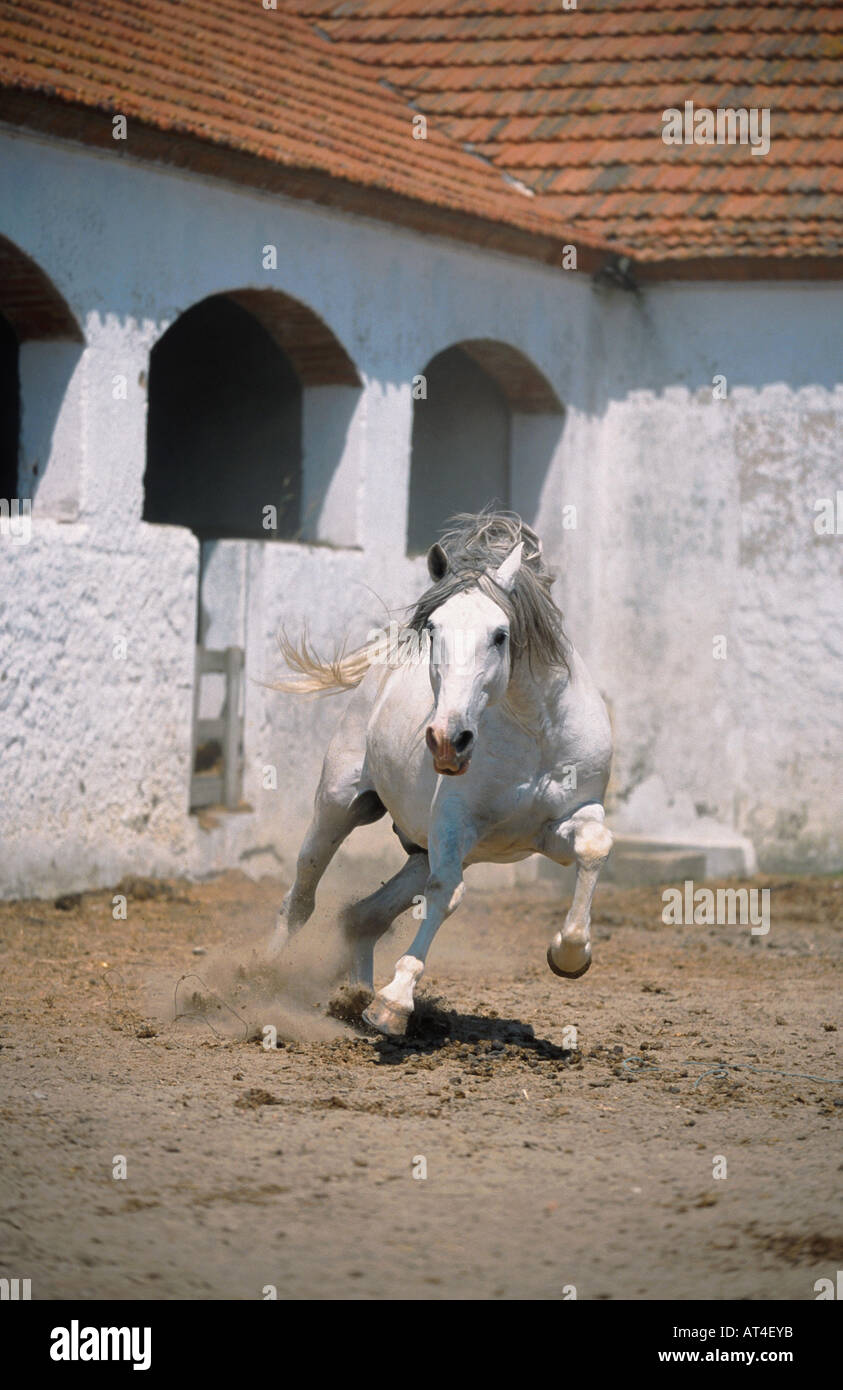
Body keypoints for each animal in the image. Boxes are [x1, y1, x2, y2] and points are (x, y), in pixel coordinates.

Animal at [269, 509, 613, 1038]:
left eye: (500, 635)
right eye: (433, 630)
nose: (448, 739)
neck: (533, 730)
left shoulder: (560, 825)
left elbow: (595, 848)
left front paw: (569, 955)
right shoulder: (455, 822)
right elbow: (445, 896)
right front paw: (393, 1005)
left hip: (421, 847)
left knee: (362, 916)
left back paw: (356, 995)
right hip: (340, 805)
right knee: (302, 897)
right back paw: (257, 979)